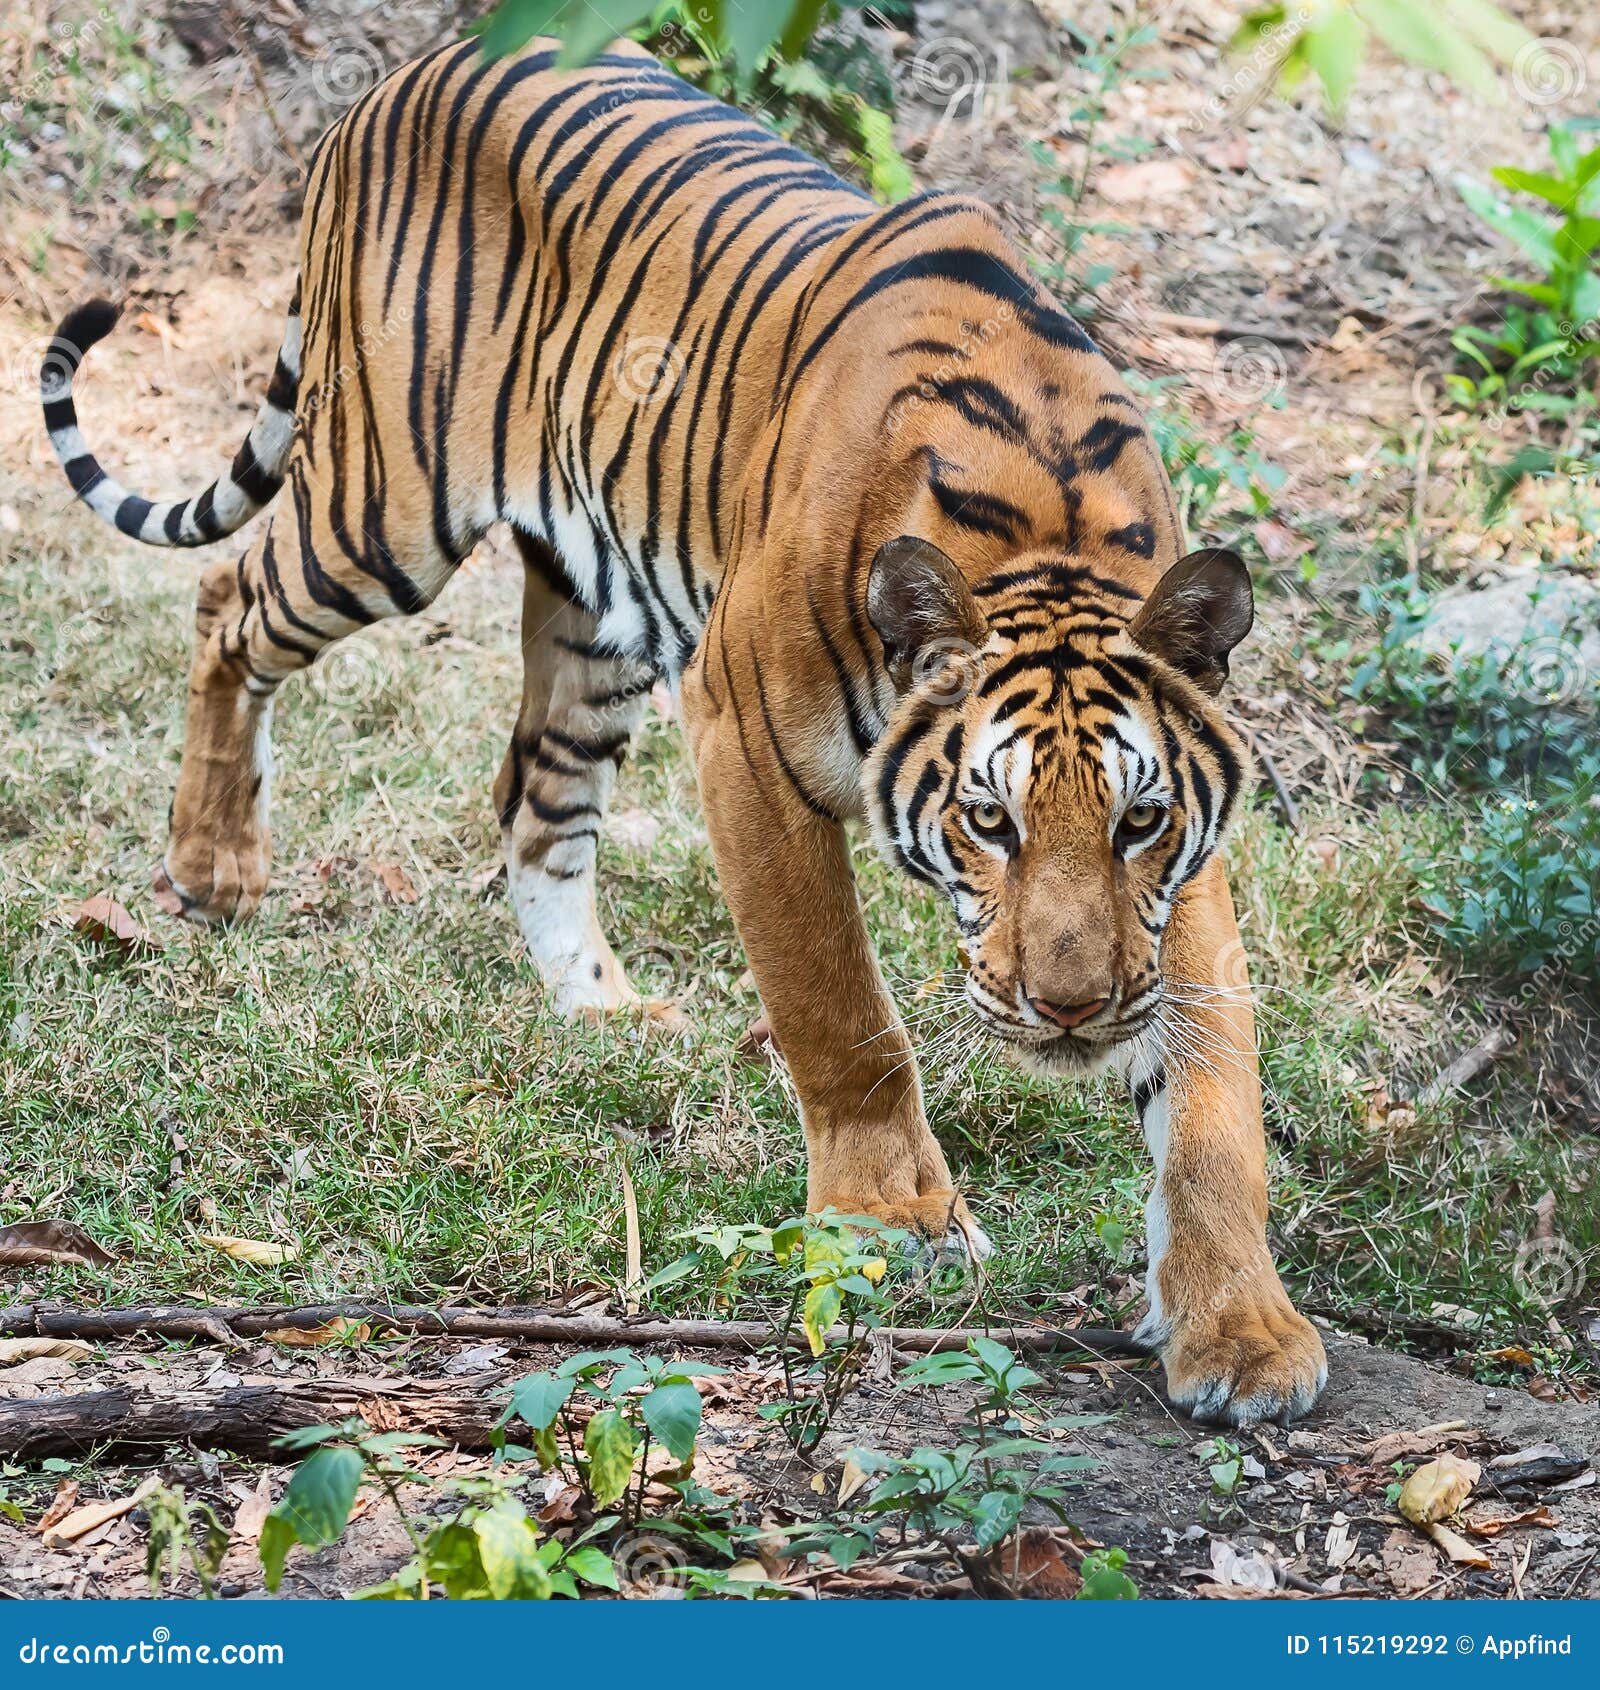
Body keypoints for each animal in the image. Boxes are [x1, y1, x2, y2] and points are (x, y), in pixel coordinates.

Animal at [41, 34, 1326, 1425]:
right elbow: (840, 1010)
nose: (1075, 1010)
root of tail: (412, 67)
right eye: (988, 820)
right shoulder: (743, 738)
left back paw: (599, 1012)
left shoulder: (1180, 868)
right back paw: (213, 867)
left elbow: (1212, 1093)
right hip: (378, 511)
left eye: (1139, 821)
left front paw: (1242, 1329)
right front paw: (894, 1221)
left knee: (535, 806)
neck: (1043, 531)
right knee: (227, 599)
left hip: (591, 616)